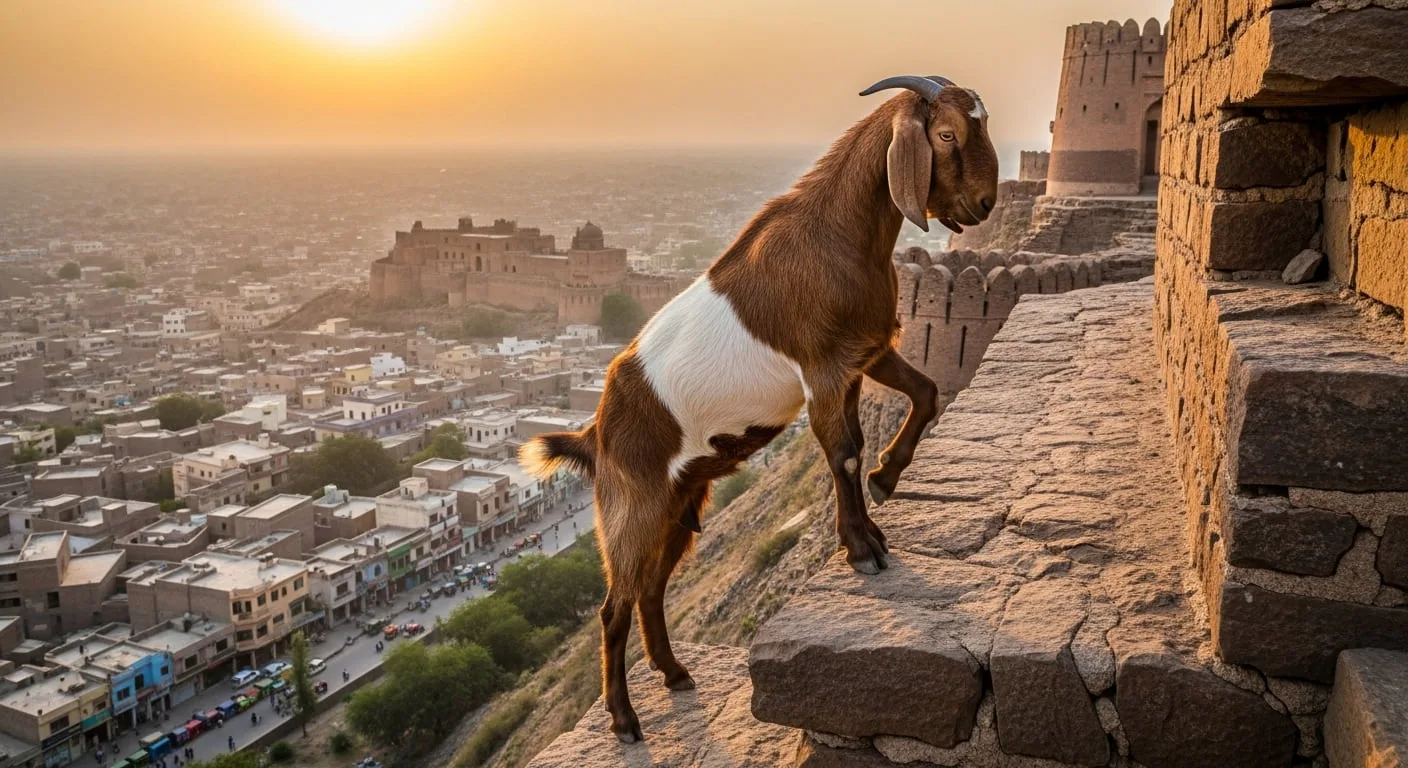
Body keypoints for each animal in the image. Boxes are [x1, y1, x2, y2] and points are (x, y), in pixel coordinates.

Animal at [521, 75, 999, 743]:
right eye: (949, 134)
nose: (984, 204)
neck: (836, 234)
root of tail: (595, 429)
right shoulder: (823, 370)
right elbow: (842, 455)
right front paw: (863, 549)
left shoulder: (866, 355)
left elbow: (922, 397)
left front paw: (886, 481)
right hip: (630, 505)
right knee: (615, 605)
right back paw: (623, 717)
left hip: (679, 504)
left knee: (650, 590)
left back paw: (674, 674)